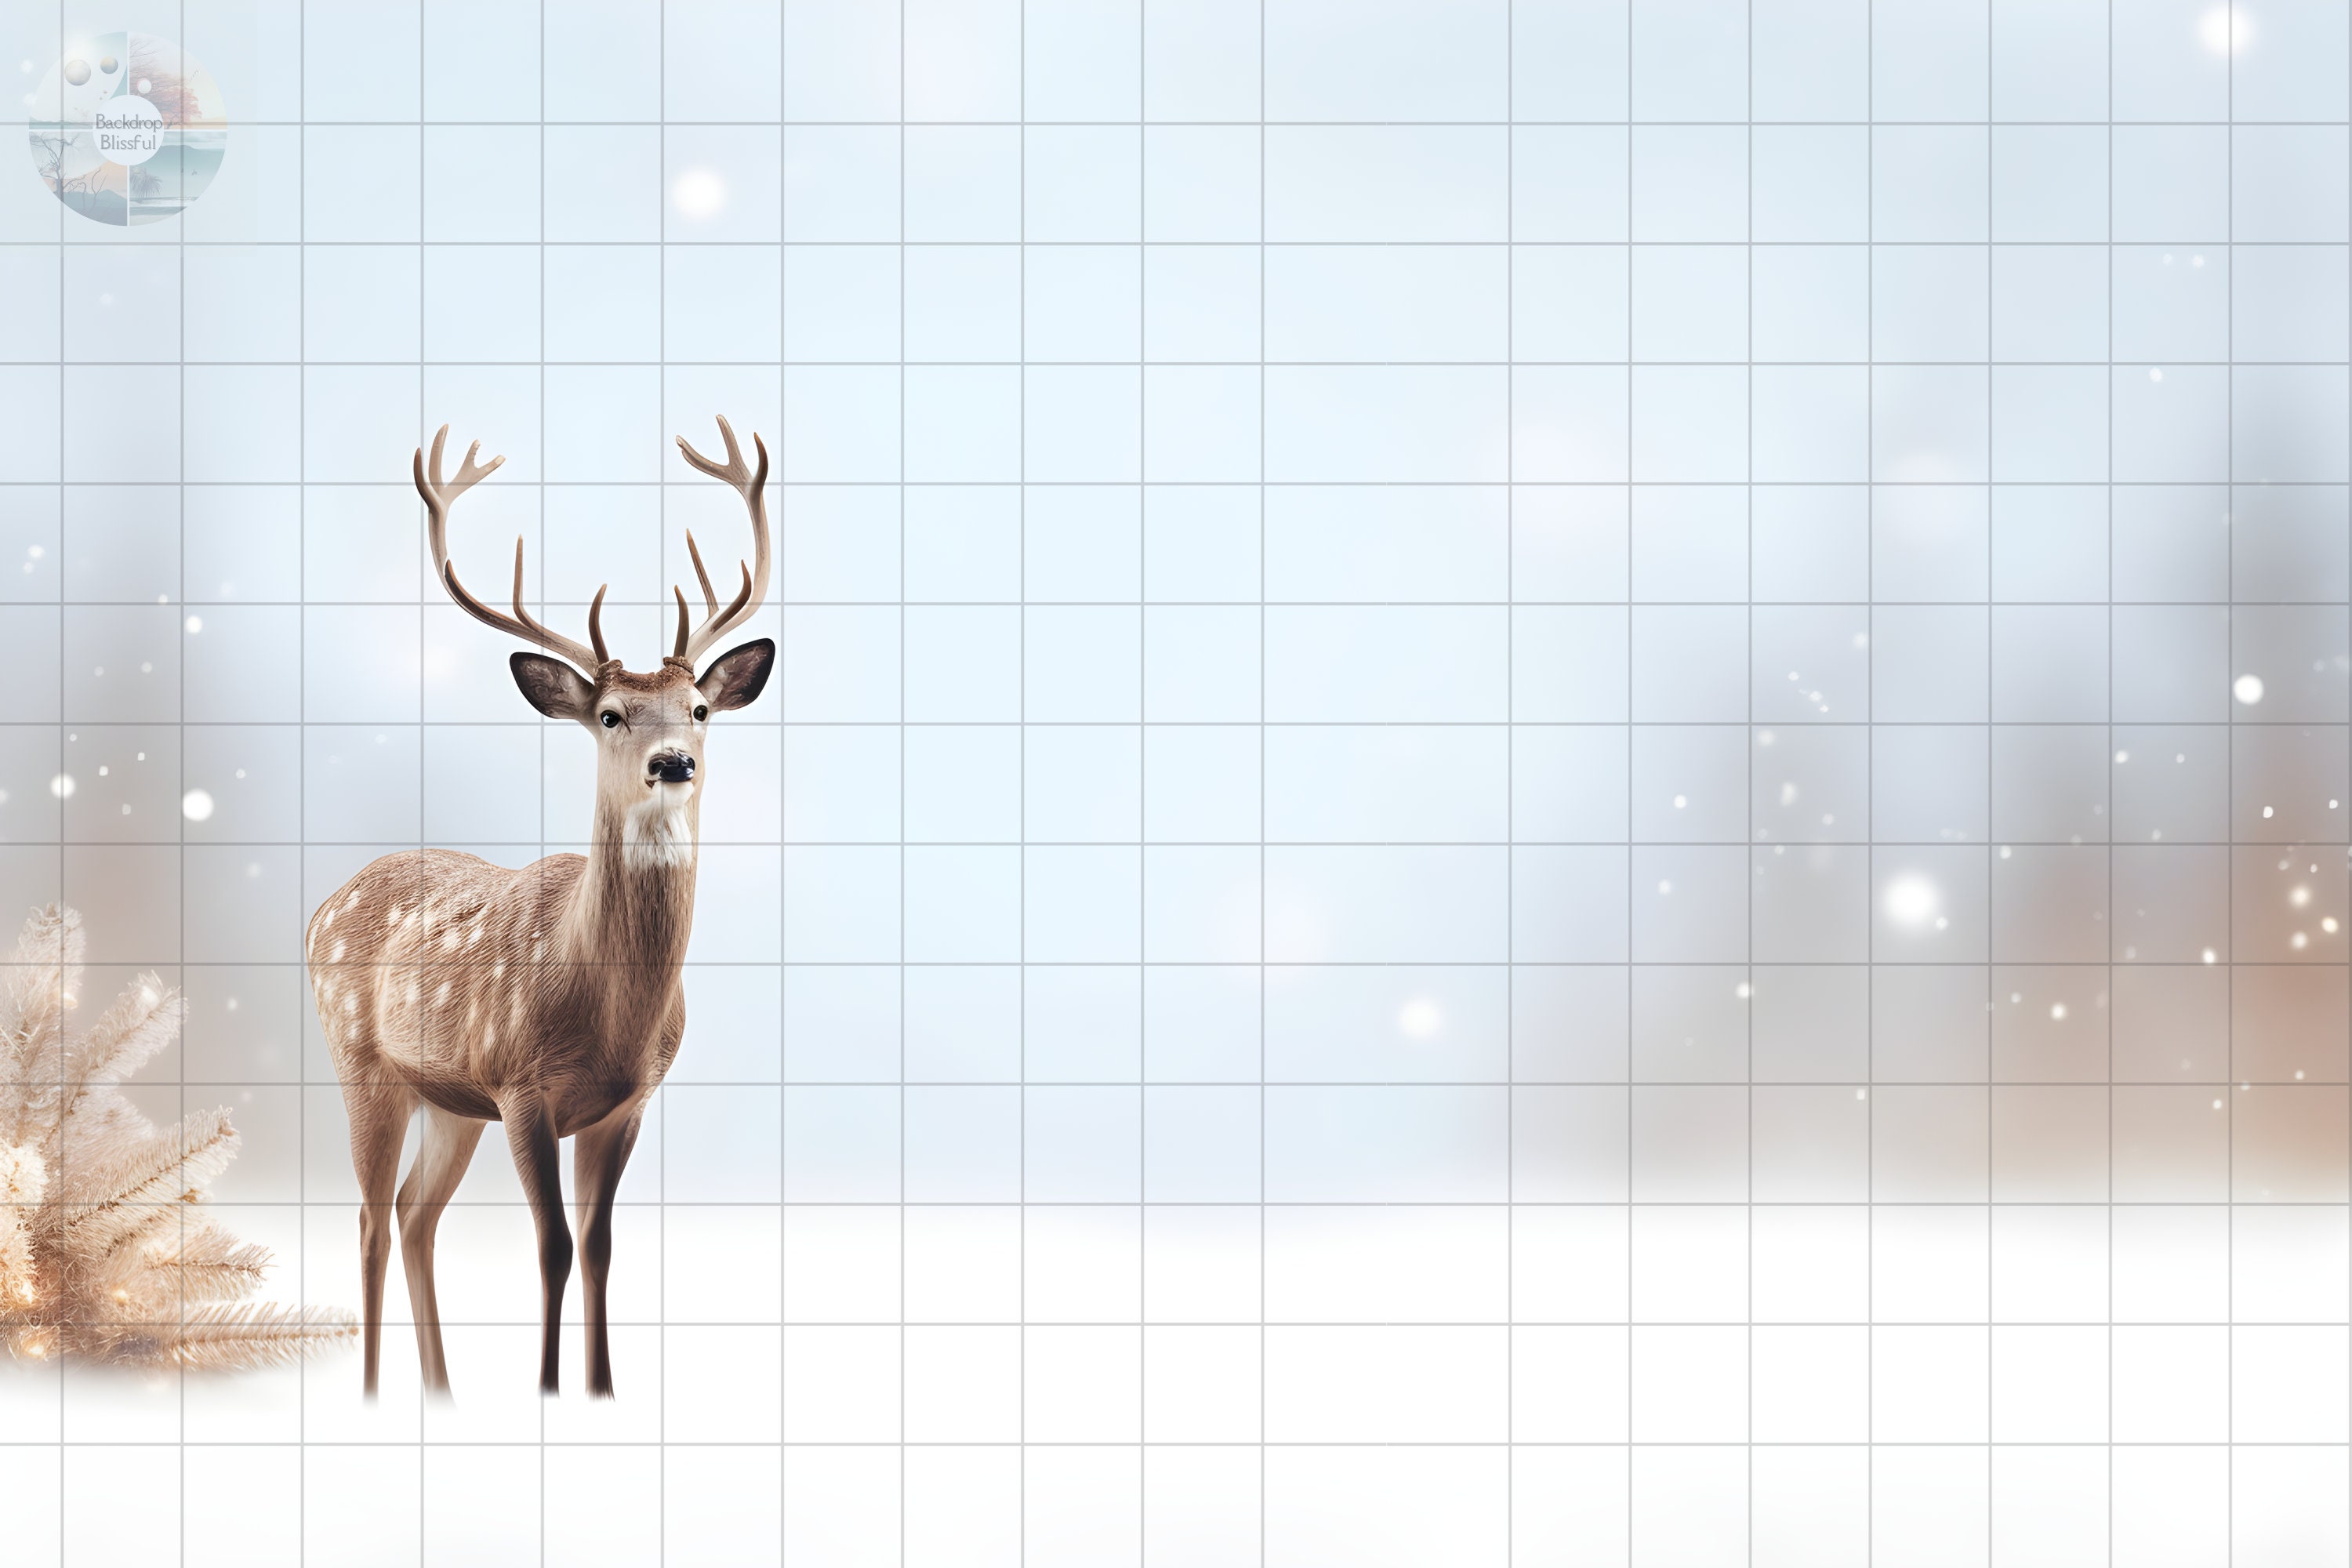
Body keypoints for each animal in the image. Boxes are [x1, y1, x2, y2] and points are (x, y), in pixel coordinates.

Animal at [307, 418, 775, 1399]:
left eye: (700, 706)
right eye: (609, 713)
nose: (673, 763)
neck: (605, 1009)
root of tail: (319, 907)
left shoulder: (625, 1101)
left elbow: (599, 1247)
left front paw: (600, 1388)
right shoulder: (520, 1083)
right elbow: (553, 1245)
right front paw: (550, 1388)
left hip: (447, 1100)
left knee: (413, 1215)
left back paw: (440, 1391)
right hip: (362, 1060)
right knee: (369, 1219)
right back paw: (371, 1391)